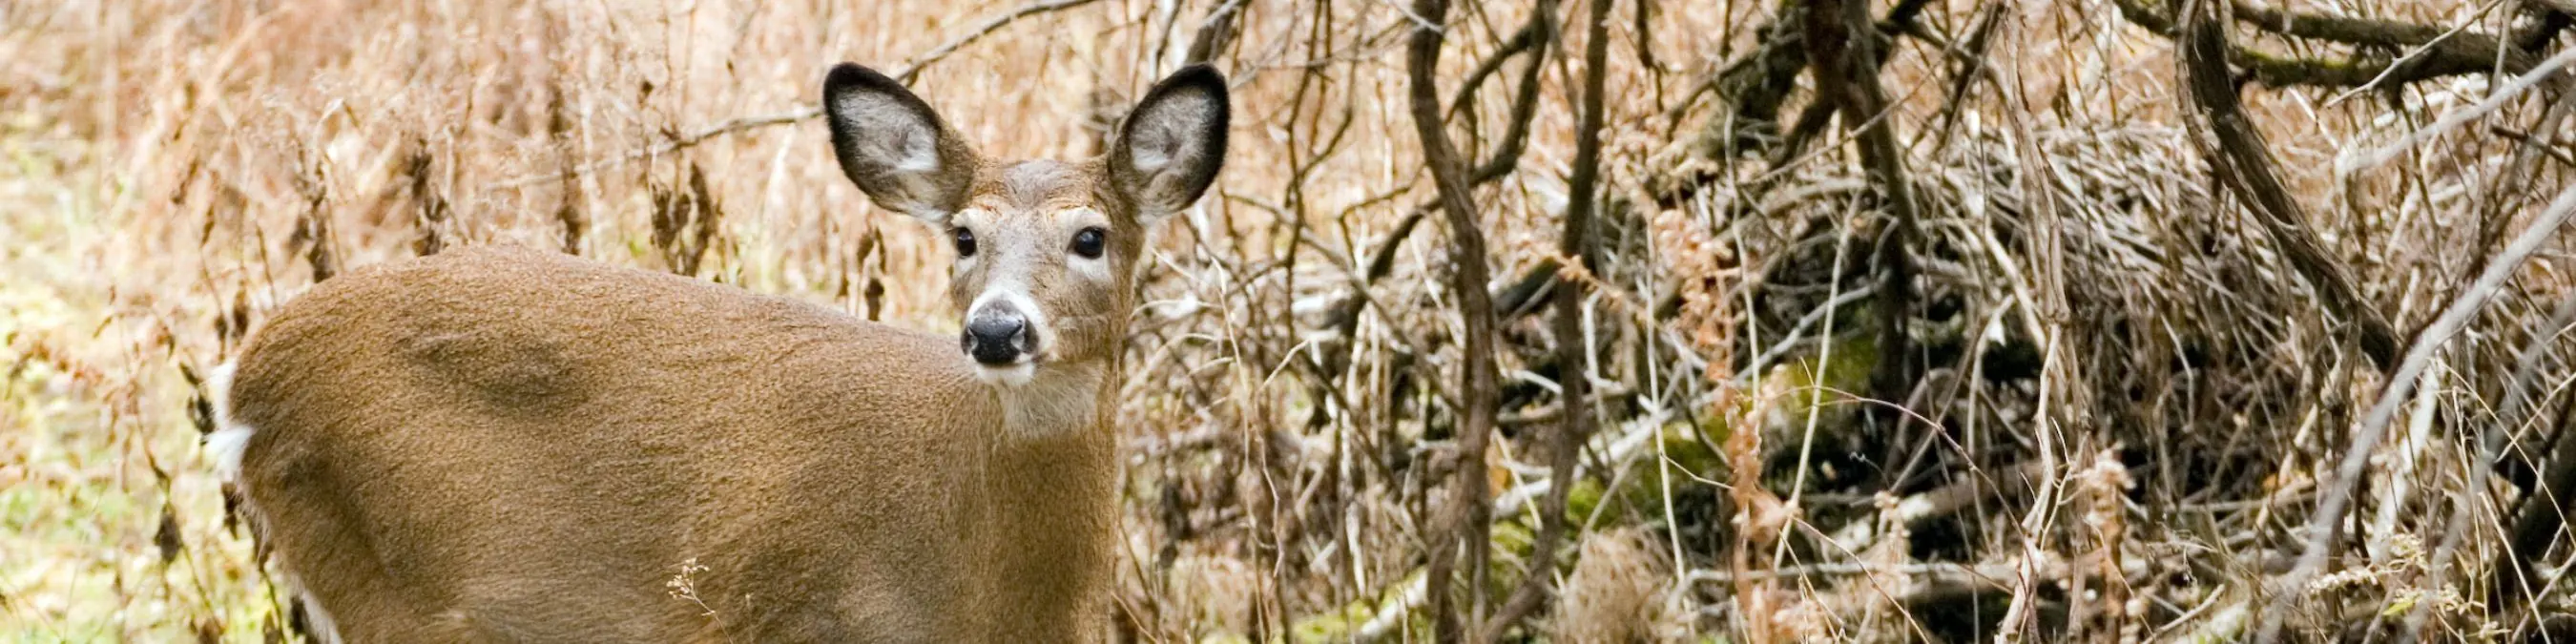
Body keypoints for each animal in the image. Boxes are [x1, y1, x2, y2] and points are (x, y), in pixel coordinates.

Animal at [202, 62, 1228, 642]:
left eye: (1092, 236)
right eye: (965, 236)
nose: (997, 329)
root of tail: (243, 381)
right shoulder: (777, 617)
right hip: (394, 583)